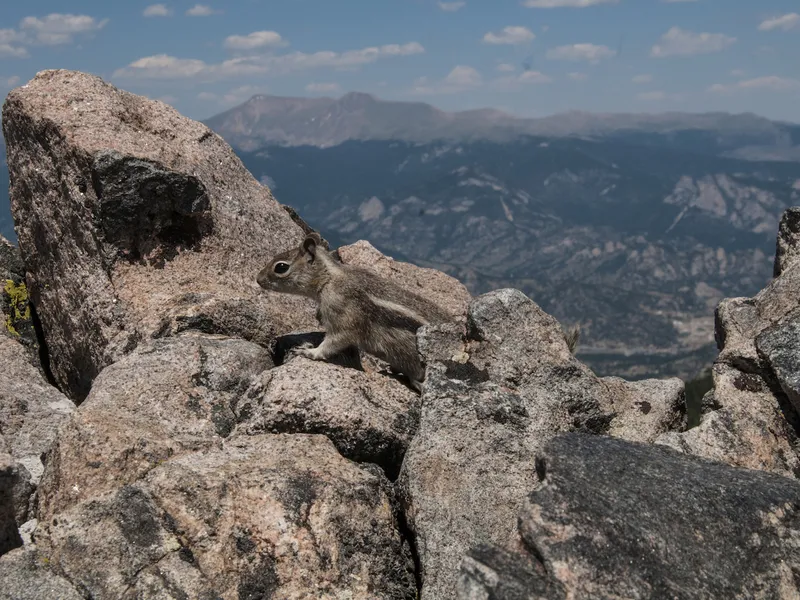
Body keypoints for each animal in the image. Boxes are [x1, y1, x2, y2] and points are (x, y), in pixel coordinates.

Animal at [257, 232, 450, 392]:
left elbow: (336, 340)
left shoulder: (344, 314)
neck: (329, 278)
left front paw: (310, 352)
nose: (258, 279)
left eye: (281, 267)